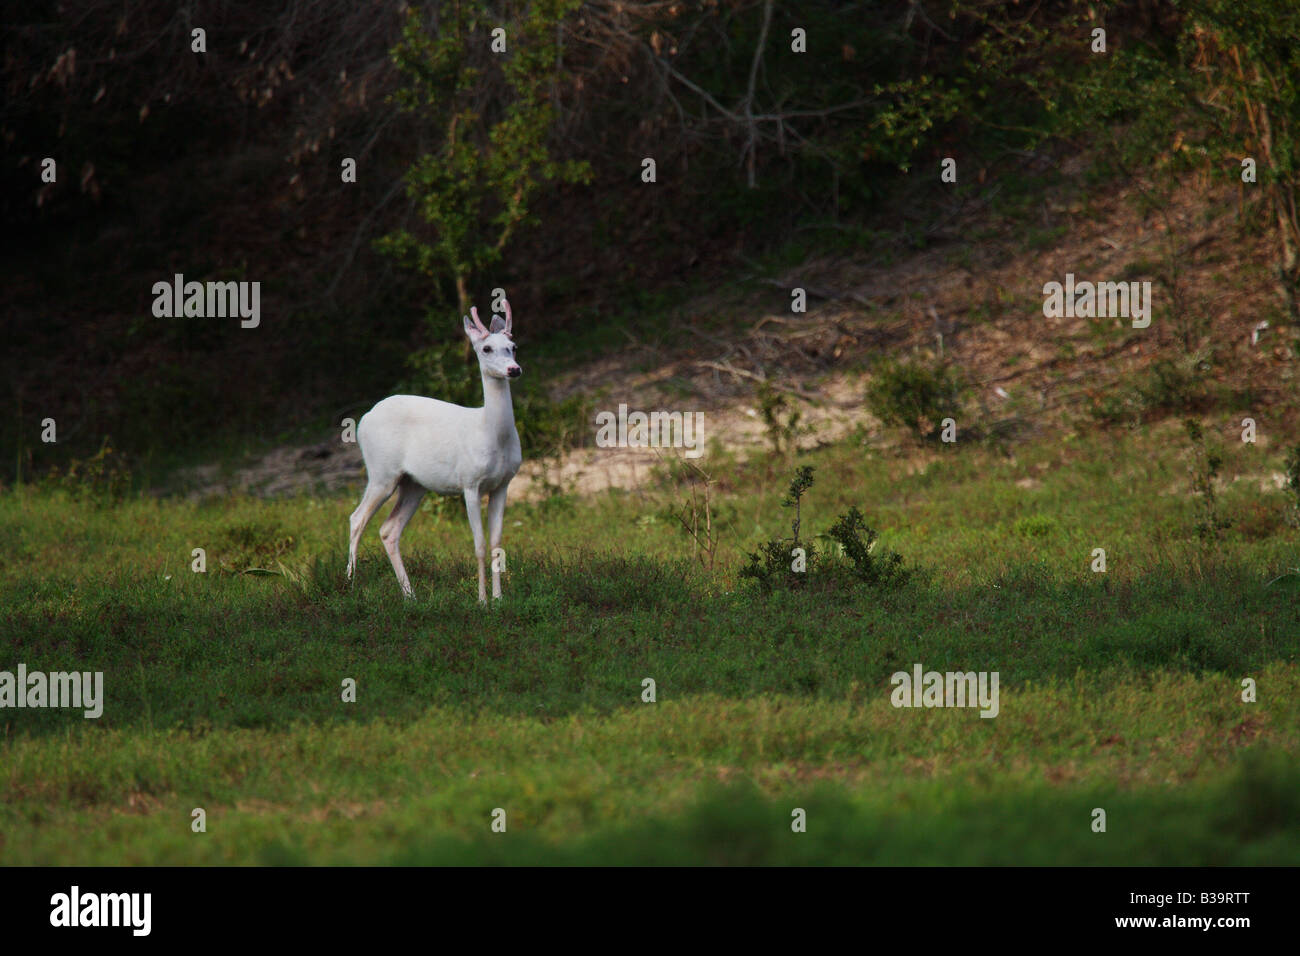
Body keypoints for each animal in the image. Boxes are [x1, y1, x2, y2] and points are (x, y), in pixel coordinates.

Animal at [346, 299, 522, 603]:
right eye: (486, 348)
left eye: (513, 346)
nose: (514, 369)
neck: (491, 434)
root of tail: (366, 417)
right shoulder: (470, 482)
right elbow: (479, 544)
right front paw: (482, 601)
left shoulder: (503, 483)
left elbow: (496, 542)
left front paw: (499, 599)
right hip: (382, 472)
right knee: (357, 518)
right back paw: (350, 584)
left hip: (414, 483)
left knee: (388, 530)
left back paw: (410, 595)